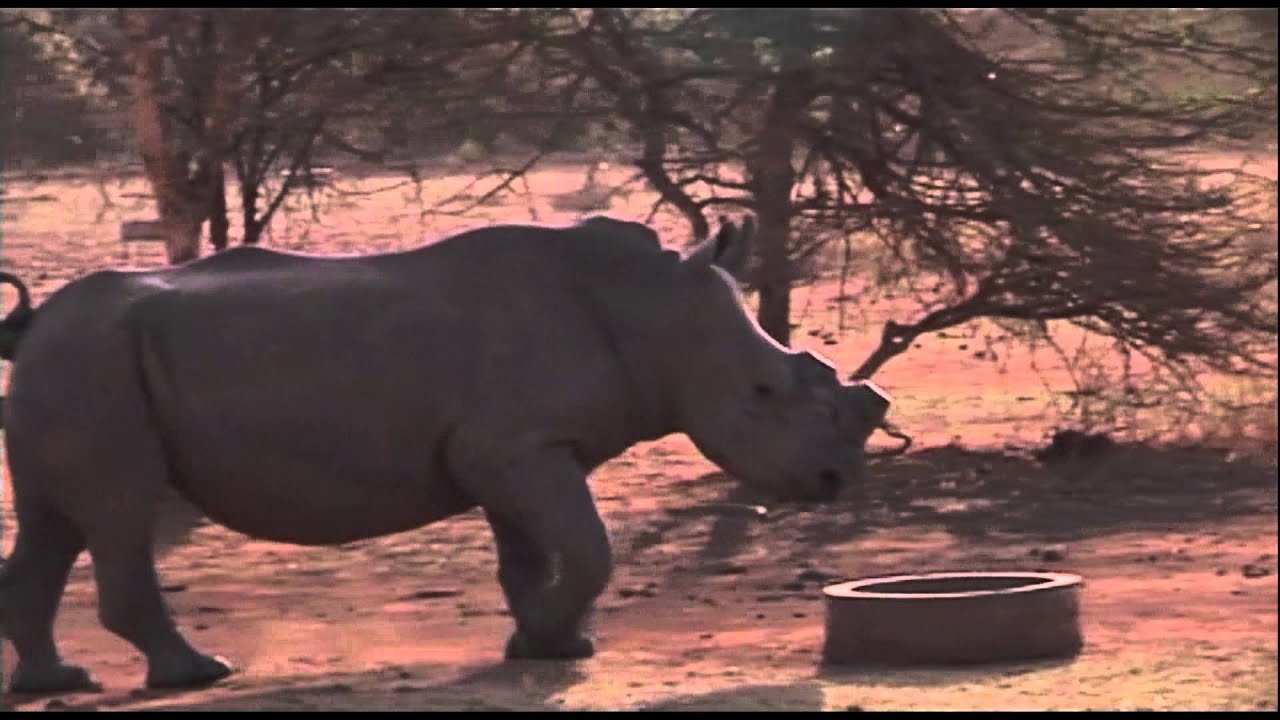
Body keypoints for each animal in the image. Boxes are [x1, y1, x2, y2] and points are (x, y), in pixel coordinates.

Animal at [0, 215, 891, 694]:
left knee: (54, 524)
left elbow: (535, 556)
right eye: (763, 393)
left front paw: (549, 646)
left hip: (75, 362)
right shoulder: (515, 446)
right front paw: (552, 639)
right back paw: (199, 673)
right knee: (120, 510)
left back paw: (58, 683)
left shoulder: (515, 448)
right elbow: (589, 547)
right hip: (92, 364)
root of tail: (34, 324)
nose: (834, 479)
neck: (648, 309)